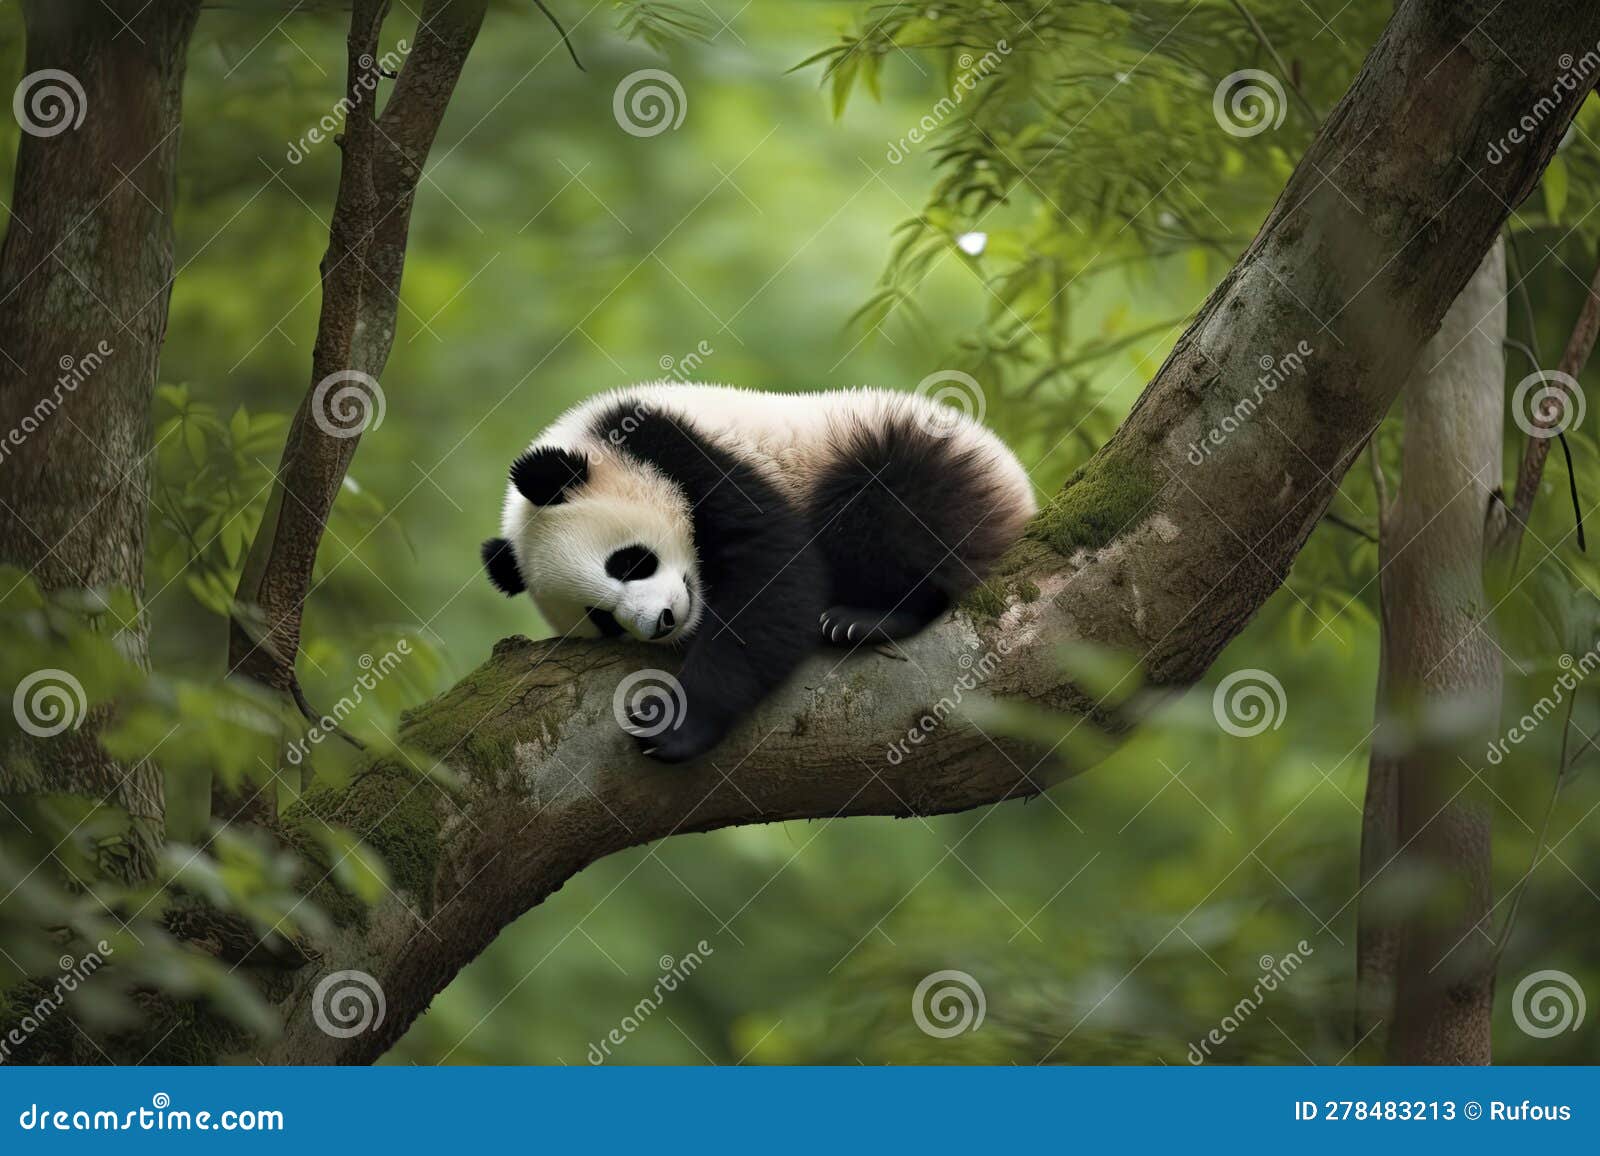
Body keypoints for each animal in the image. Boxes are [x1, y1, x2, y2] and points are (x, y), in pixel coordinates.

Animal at [481, 384, 1037, 763]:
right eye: (602, 619)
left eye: (629, 562)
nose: (661, 622)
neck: (607, 439)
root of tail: (1023, 499)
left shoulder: (700, 457)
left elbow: (773, 573)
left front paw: (676, 726)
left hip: (911, 454)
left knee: (887, 505)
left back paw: (869, 618)